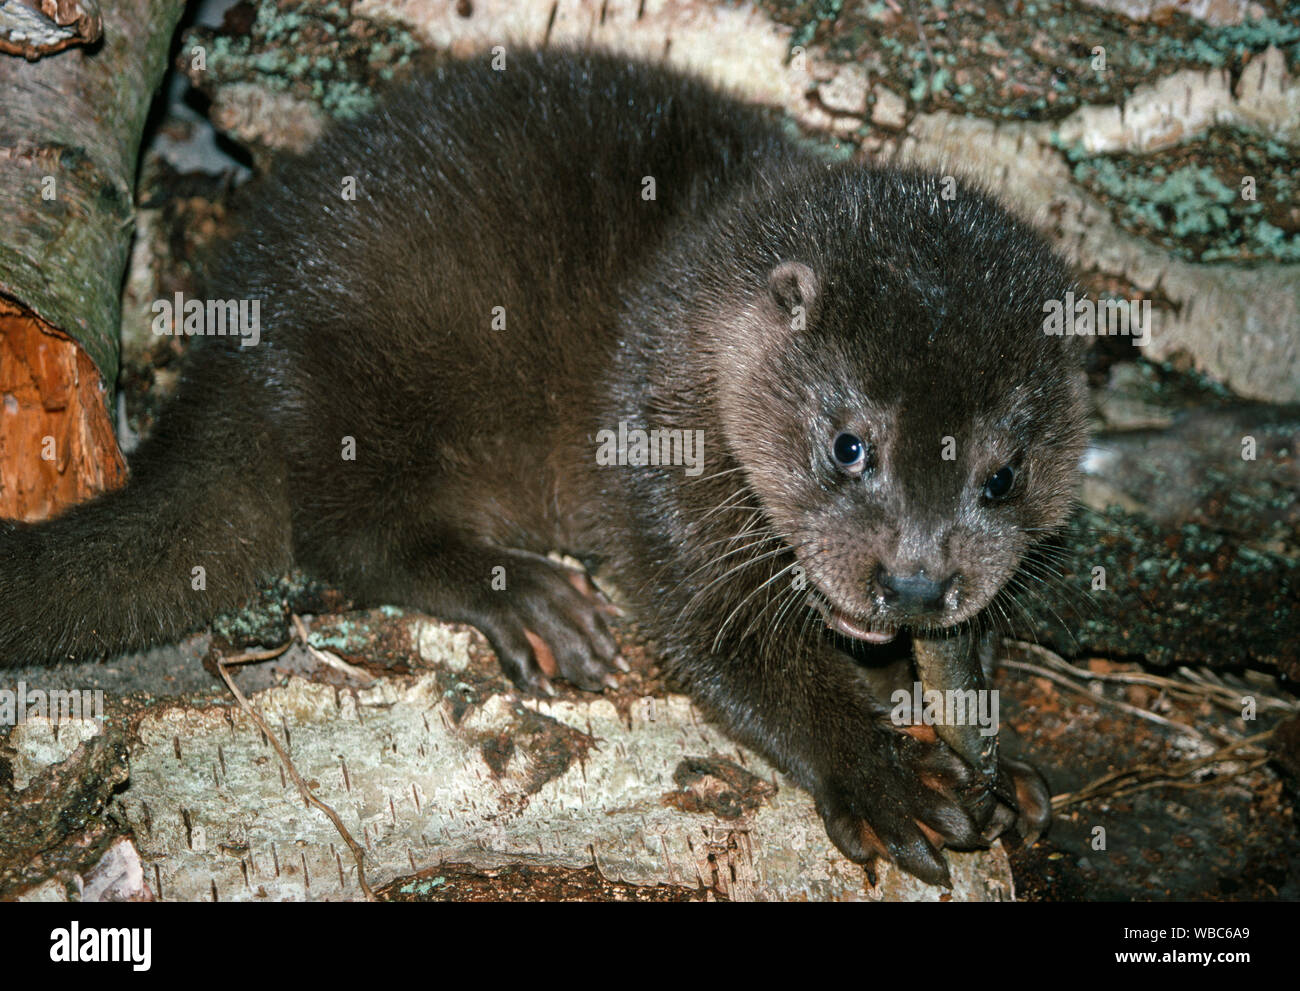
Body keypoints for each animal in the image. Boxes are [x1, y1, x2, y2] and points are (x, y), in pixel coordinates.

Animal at [0, 48, 1089, 886]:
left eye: (1002, 475)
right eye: (848, 444)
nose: (914, 582)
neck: (693, 312)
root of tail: (232, 349)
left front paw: (1003, 762)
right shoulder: (654, 454)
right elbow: (723, 642)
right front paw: (887, 777)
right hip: (366, 372)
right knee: (346, 533)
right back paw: (525, 594)